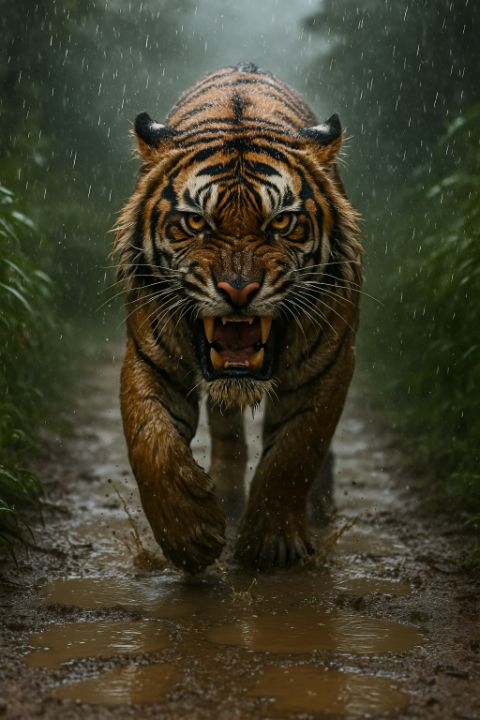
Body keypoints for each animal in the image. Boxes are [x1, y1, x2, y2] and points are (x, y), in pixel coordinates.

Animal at [114, 63, 362, 574]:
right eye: (195, 223)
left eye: (282, 223)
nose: (239, 292)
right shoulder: (149, 356)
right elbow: (149, 439)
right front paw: (190, 533)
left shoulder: (330, 363)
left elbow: (295, 451)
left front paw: (273, 544)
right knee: (226, 432)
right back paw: (226, 500)